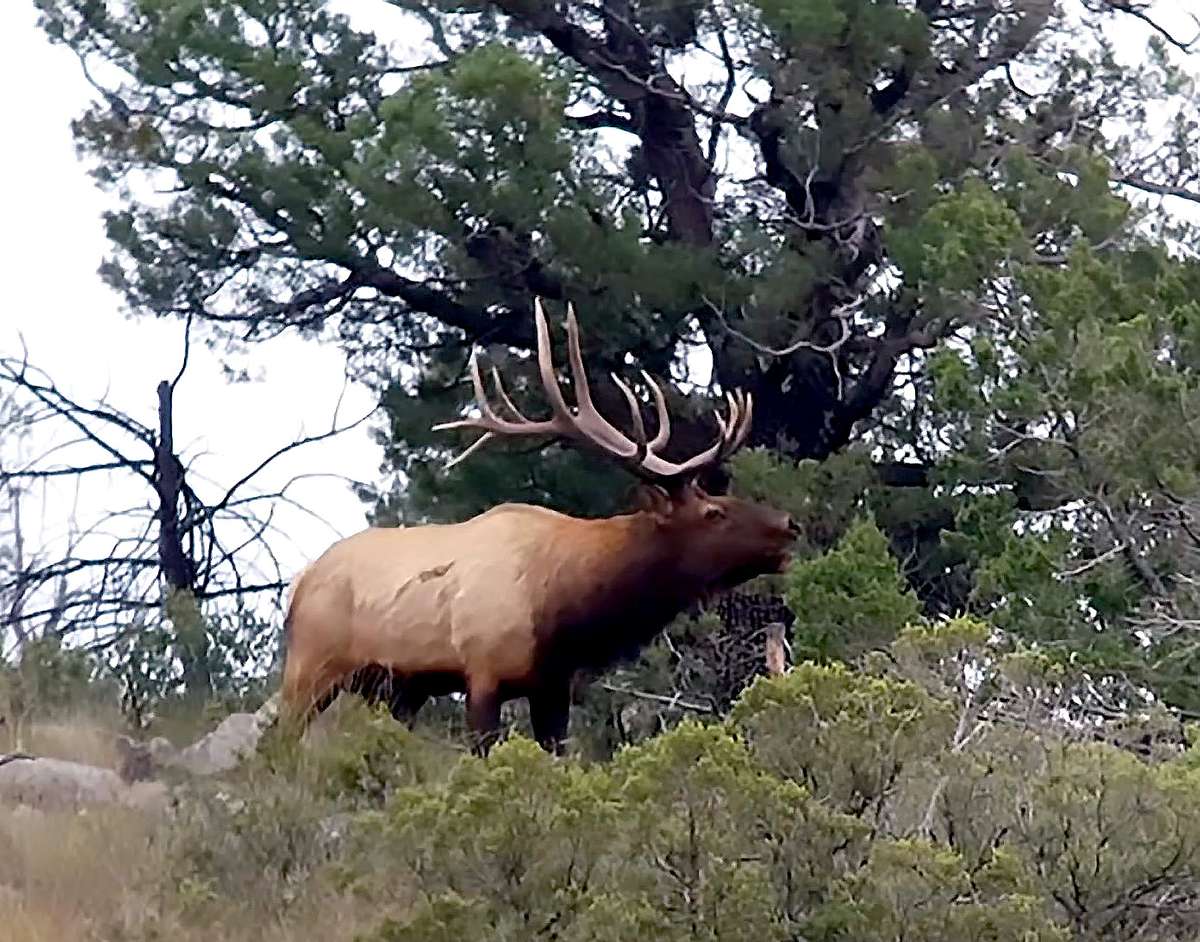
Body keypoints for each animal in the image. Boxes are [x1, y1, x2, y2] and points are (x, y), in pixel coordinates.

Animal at [277, 299, 799, 755]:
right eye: (714, 512)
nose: (789, 524)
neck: (564, 612)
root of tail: (298, 584)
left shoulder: (553, 686)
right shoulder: (483, 673)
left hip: (395, 690)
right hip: (310, 667)